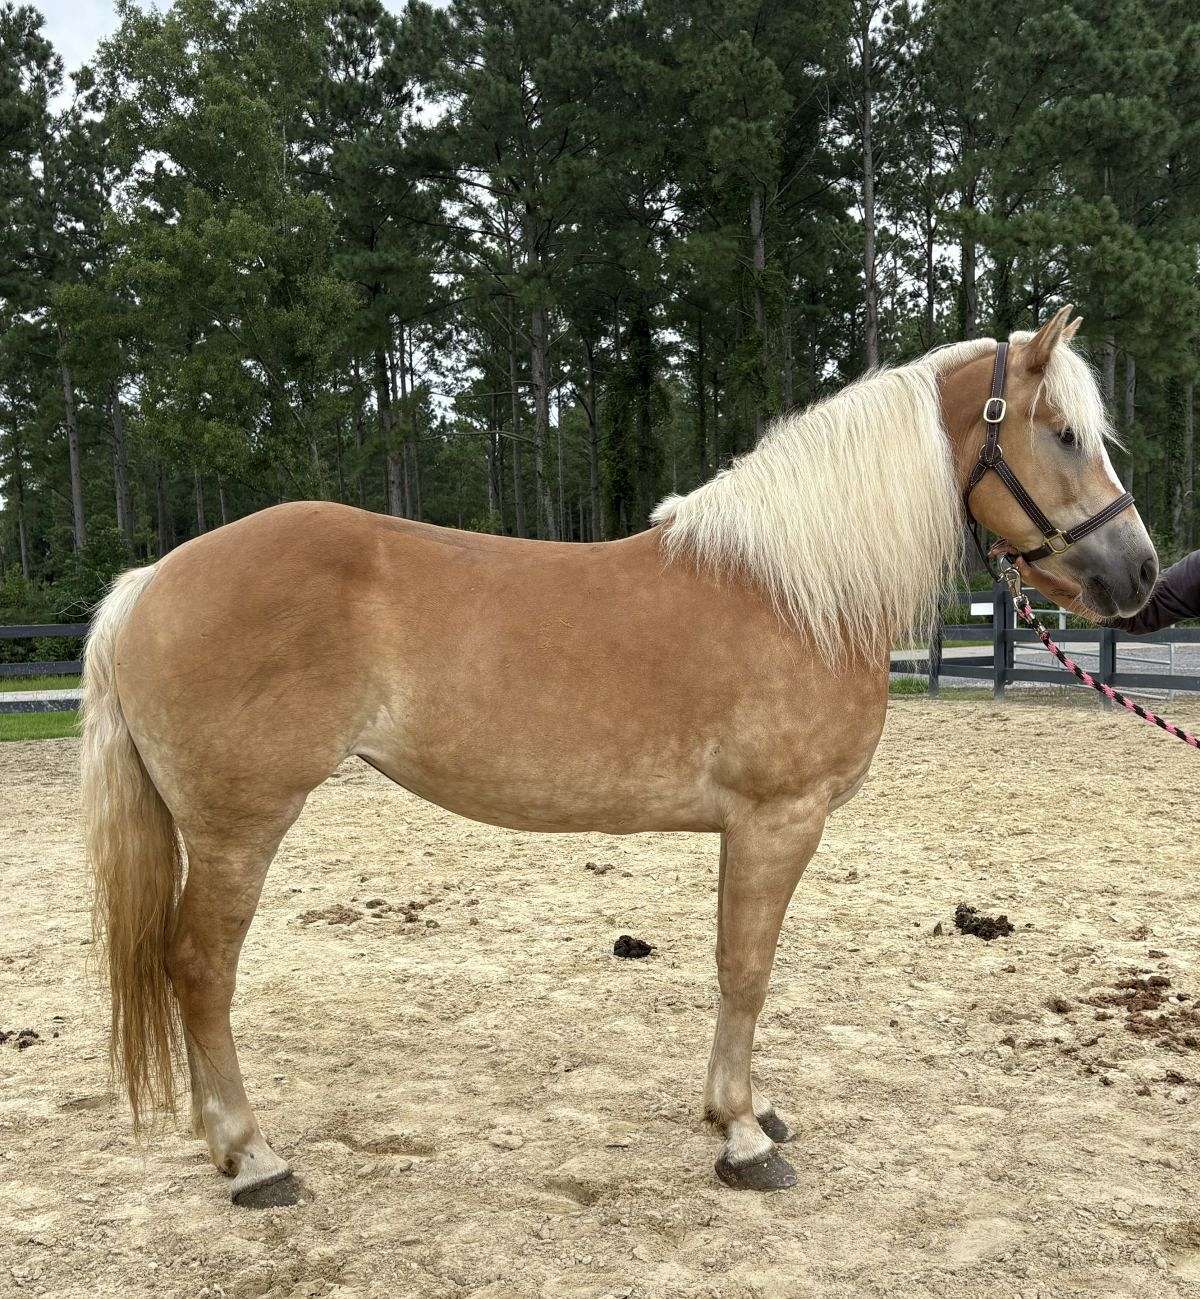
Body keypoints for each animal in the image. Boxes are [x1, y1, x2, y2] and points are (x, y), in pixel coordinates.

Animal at [81, 307, 1156, 1205]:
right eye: (1063, 432)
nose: (1139, 572)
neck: (794, 589)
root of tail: (149, 581)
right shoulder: (778, 819)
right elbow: (746, 968)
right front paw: (743, 1140)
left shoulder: (746, 829)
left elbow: (736, 965)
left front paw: (739, 1113)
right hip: (238, 825)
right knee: (200, 969)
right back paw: (255, 1157)